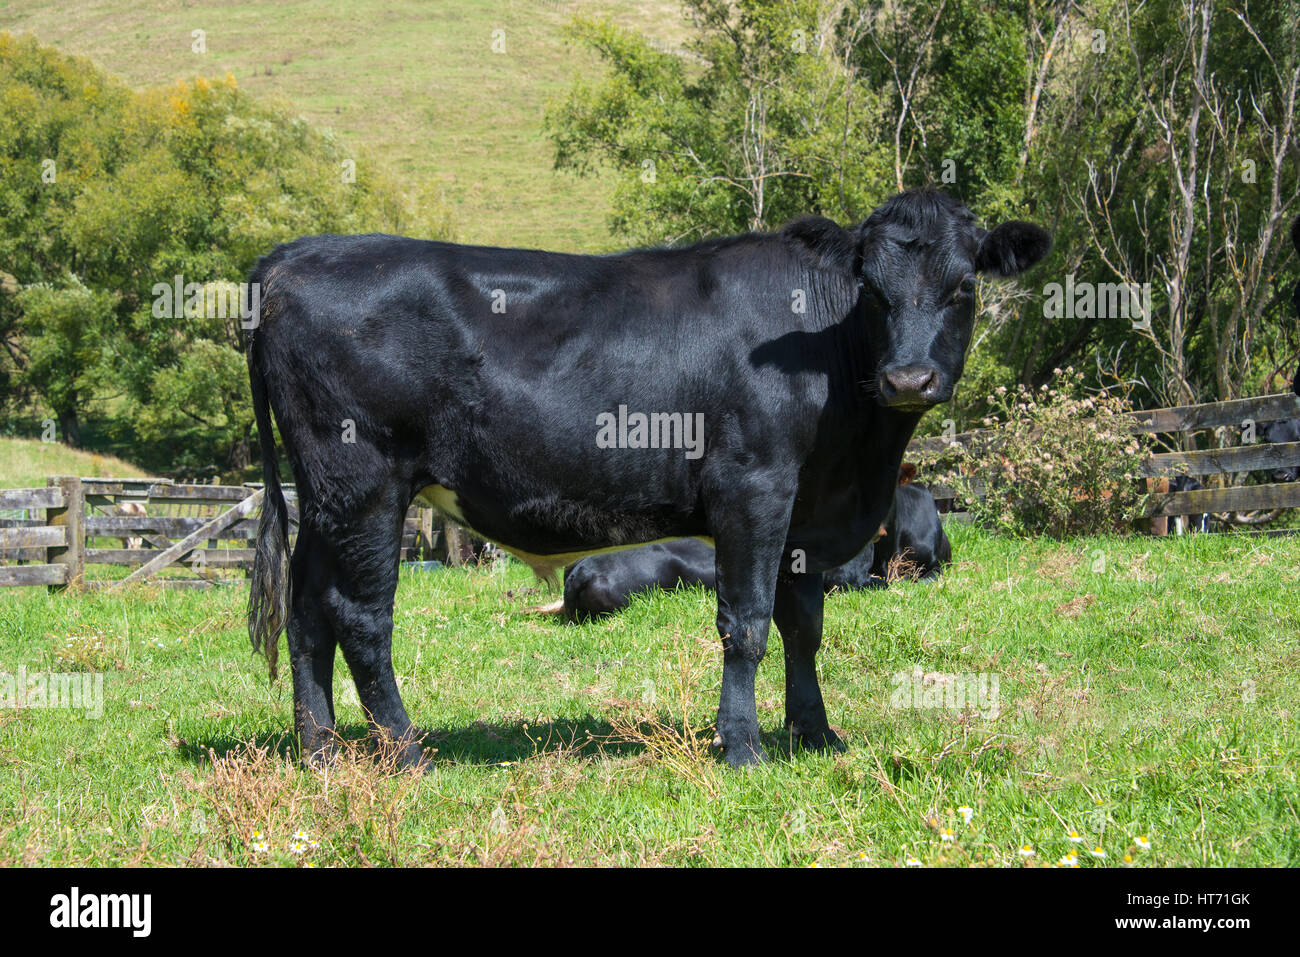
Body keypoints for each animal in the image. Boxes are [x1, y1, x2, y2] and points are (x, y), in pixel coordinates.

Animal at [245, 187, 1050, 768]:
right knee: (360, 617)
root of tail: (297, 254)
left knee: (307, 612)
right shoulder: (753, 488)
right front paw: (745, 747)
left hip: (325, 498)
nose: (908, 377)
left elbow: (804, 627)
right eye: (874, 290)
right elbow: (747, 623)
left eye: (963, 287)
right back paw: (407, 753)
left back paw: (320, 753)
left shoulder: (805, 511)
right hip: (366, 483)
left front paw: (815, 733)